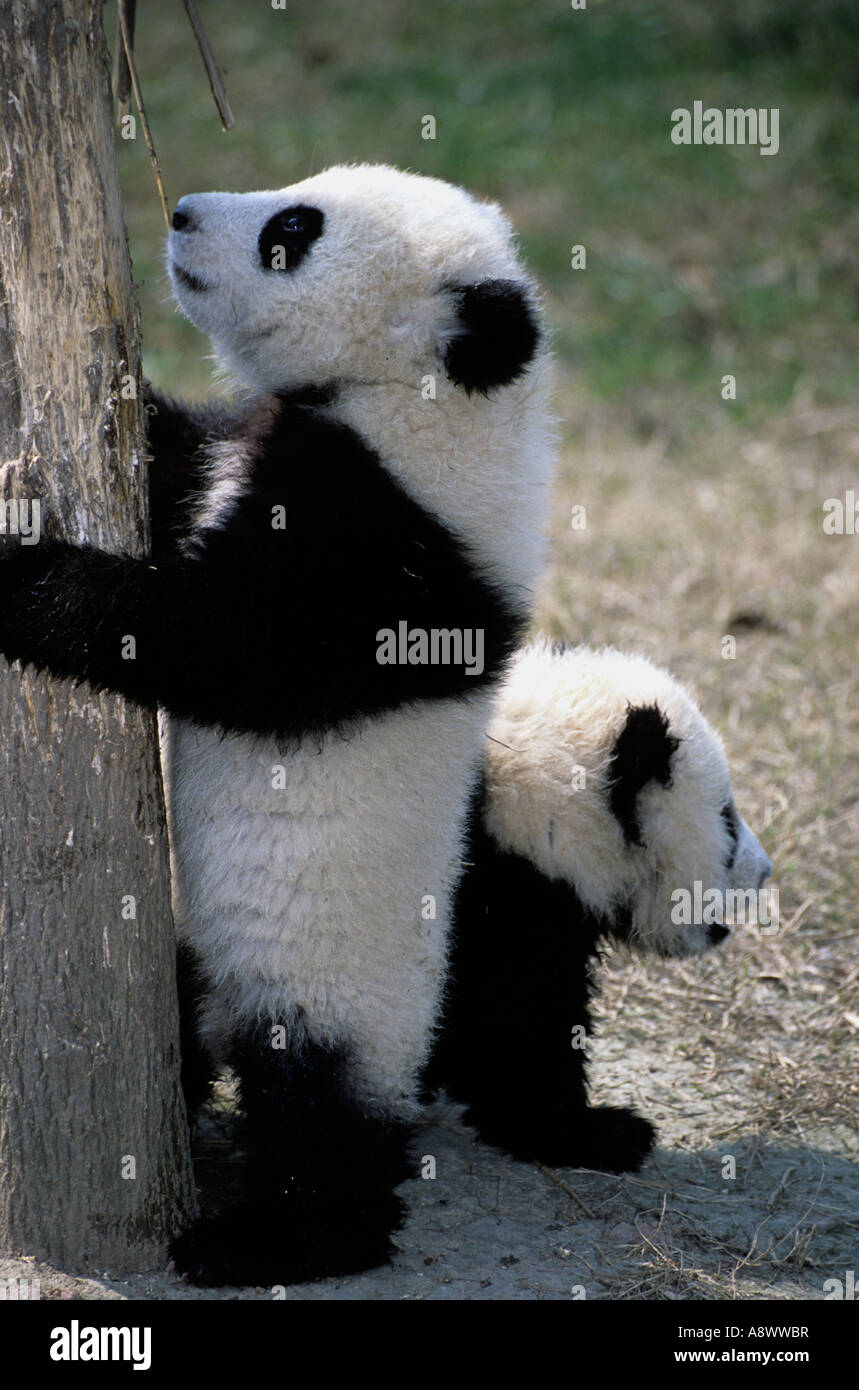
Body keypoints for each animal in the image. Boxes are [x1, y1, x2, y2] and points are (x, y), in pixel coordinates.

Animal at [0, 164, 556, 1286]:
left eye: (292, 232)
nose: (177, 214)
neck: (427, 401)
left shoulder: (393, 554)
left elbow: (221, 646)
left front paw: (25, 580)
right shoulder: (279, 457)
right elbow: (178, 459)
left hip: (333, 987)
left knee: (318, 1119)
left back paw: (264, 1238)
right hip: (199, 955)